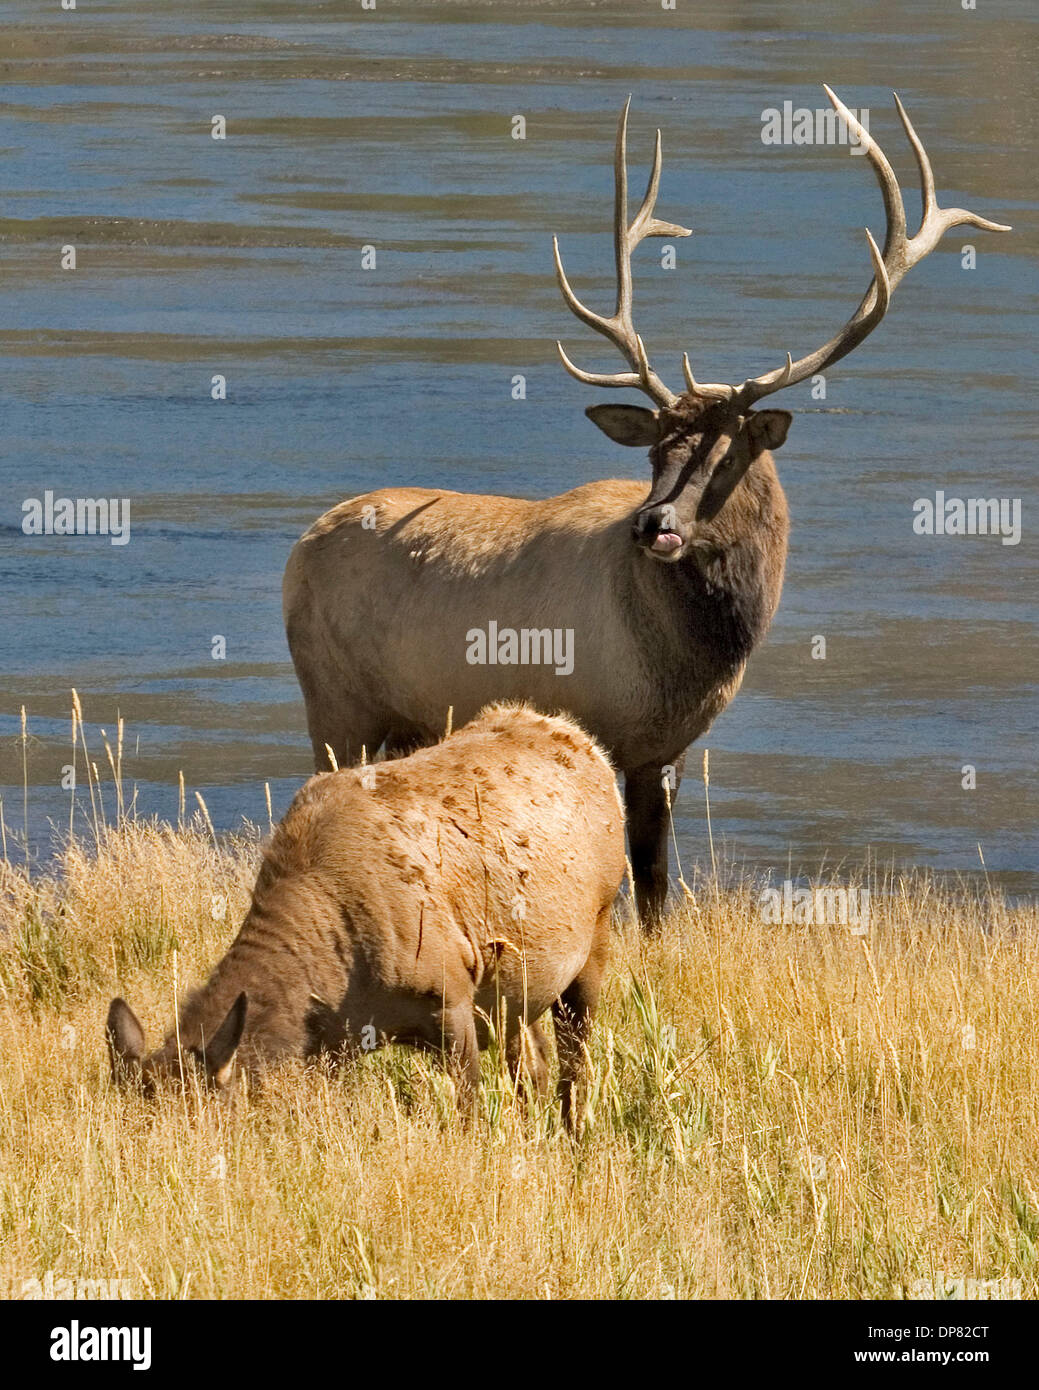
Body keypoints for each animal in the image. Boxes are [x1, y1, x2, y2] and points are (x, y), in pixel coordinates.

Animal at [106, 703, 626, 1131]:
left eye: (207, 1122)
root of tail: (586, 744)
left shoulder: (451, 992)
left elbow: (468, 1111)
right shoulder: (334, 1045)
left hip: (596, 934)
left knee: (575, 1062)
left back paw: (575, 1137)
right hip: (516, 983)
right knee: (533, 1066)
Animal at [282, 87, 1009, 925]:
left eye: (727, 453)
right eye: (655, 452)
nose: (652, 524)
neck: (693, 656)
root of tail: (297, 549)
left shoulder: (668, 749)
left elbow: (659, 885)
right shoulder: (597, 724)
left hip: (400, 722)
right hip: (334, 699)